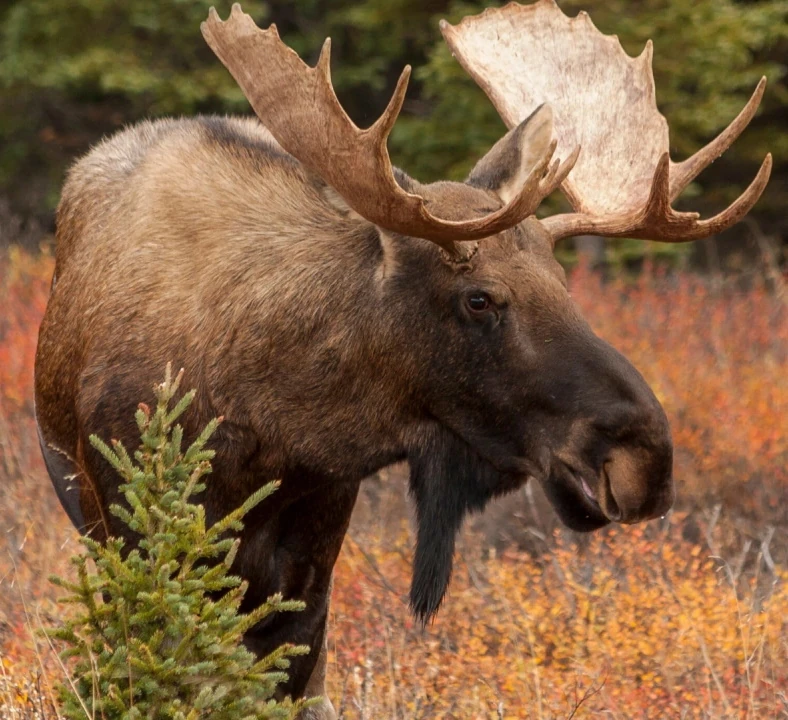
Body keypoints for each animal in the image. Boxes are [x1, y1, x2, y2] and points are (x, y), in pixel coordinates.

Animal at [34, 1, 771, 716]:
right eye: (479, 298)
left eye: (565, 282)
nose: (647, 456)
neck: (268, 419)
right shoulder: (140, 526)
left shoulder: (317, 535)